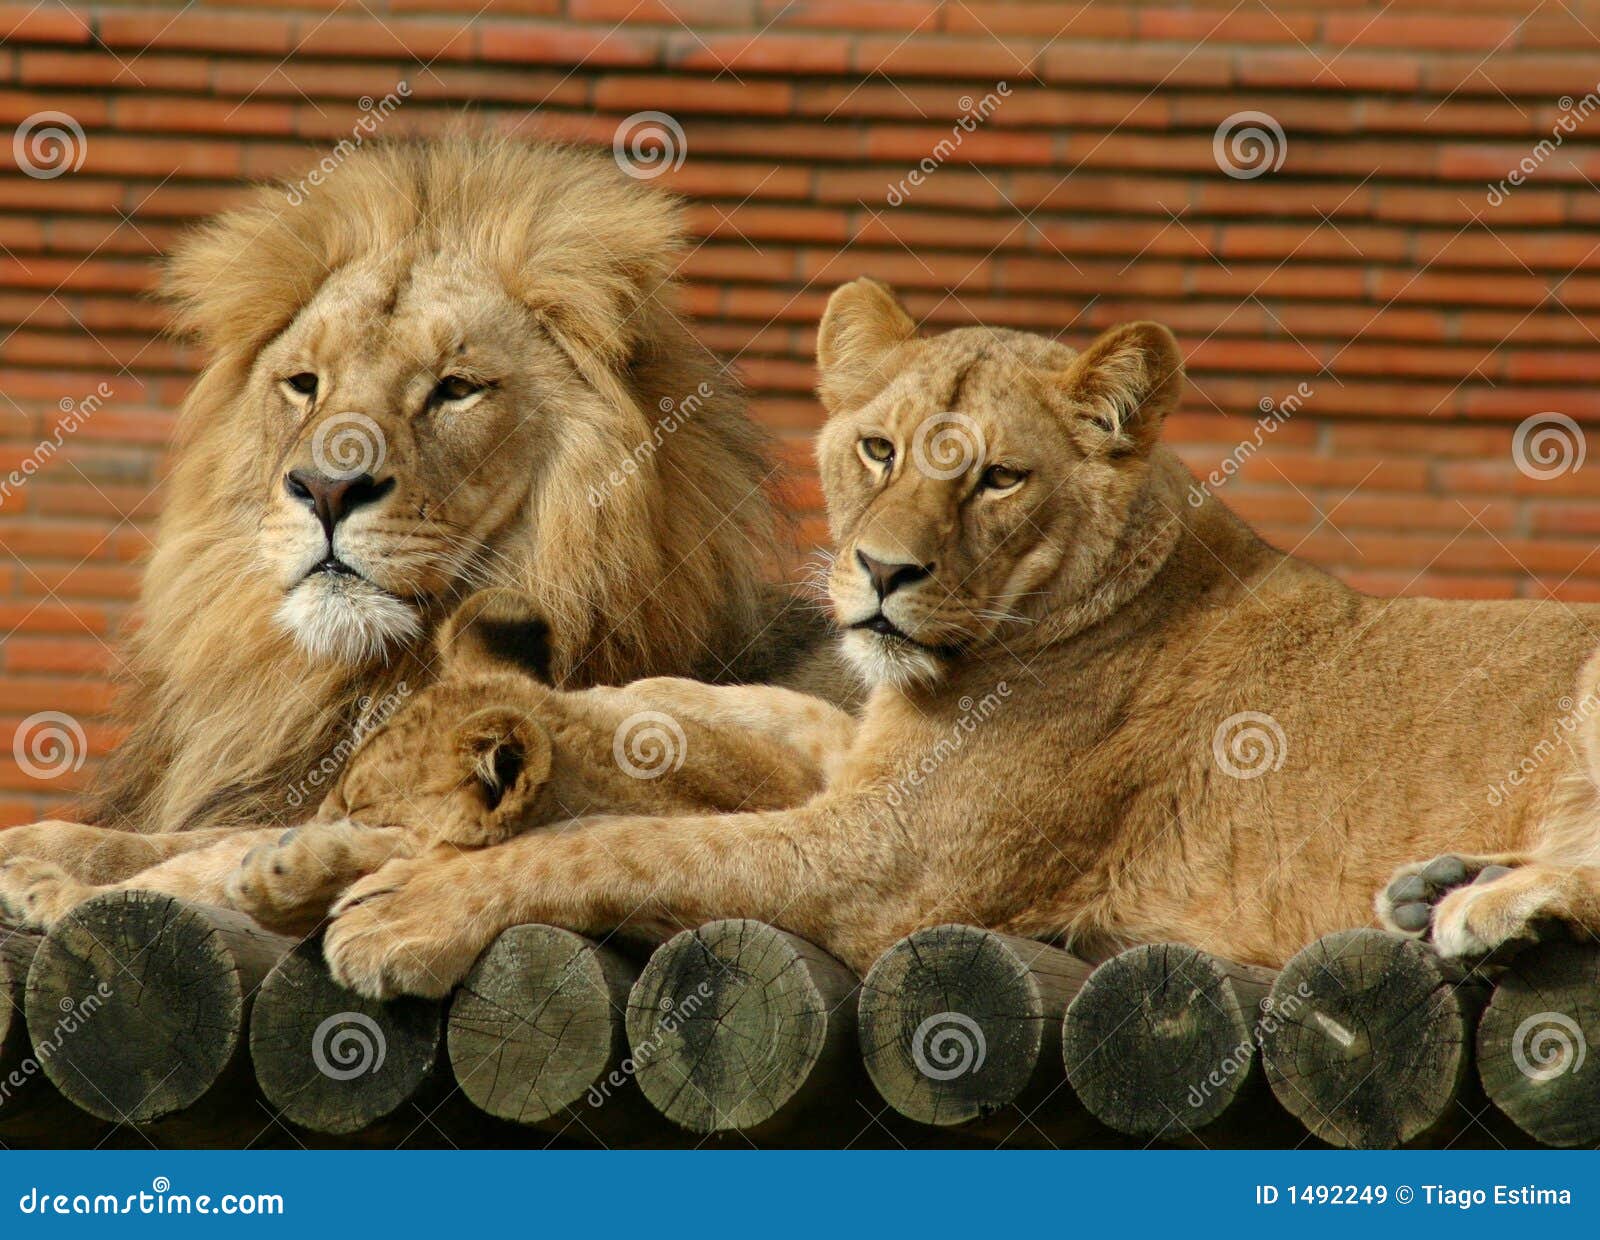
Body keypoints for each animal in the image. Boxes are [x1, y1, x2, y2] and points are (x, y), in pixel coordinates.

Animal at [1, 131, 846, 889]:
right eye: (304, 384)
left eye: (456, 388)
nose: (327, 489)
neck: (359, 681)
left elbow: (208, 842)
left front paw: (44, 855)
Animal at [311, 277, 1600, 1000]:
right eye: (877, 450)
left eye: (996, 479)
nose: (882, 573)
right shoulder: (866, 762)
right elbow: (762, 708)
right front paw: (585, 709)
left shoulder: (891, 864)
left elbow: (625, 847)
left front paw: (407, 909)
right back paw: (1433, 887)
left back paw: (1490, 906)